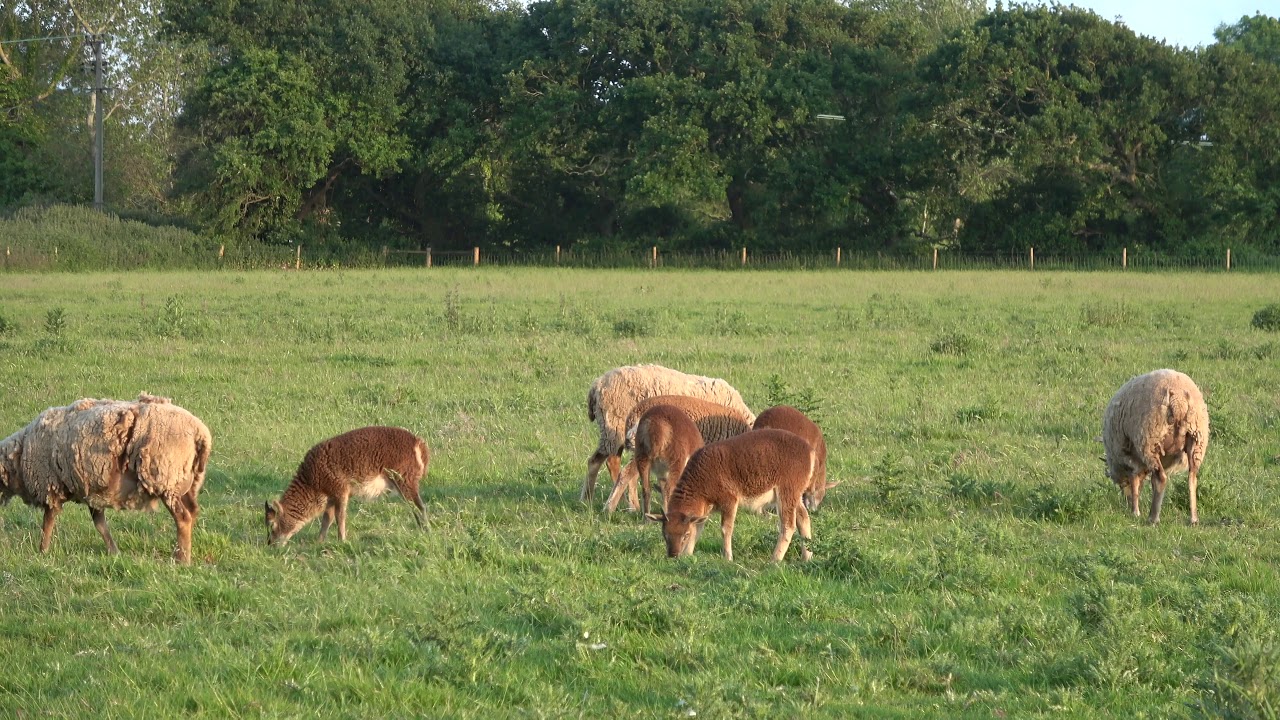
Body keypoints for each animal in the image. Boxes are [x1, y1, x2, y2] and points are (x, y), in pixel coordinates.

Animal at [0, 393, 212, 564]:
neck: (18, 456)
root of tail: (200, 433)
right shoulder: (92, 490)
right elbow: (100, 524)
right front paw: (114, 551)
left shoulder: (52, 486)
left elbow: (48, 521)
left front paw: (42, 551)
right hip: (185, 483)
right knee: (192, 512)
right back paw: (183, 552)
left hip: (165, 478)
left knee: (183, 518)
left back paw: (181, 559)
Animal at [265, 426, 430, 545]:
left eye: (272, 525)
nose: (271, 544)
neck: (312, 483)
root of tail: (419, 444)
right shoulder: (331, 497)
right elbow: (327, 519)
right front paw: (319, 542)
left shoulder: (341, 491)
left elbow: (340, 517)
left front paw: (342, 540)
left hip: (404, 480)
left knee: (419, 506)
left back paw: (426, 530)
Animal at [646, 428, 816, 563]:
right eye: (664, 533)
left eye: (685, 534)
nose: (673, 554)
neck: (702, 479)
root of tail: (809, 451)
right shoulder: (705, 508)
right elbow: (699, 527)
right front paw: (688, 554)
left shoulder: (730, 500)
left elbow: (725, 529)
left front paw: (728, 557)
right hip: (796, 496)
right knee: (803, 518)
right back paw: (807, 557)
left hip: (786, 493)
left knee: (788, 525)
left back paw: (774, 560)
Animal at [1102, 369, 1210, 525]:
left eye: (1122, 485)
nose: (1126, 503)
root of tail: (1178, 400)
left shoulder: (1129, 458)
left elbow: (1135, 482)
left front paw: (1135, 512)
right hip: (1196, 440)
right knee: (1192, 478)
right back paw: (1194, 519)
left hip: (1150, 442)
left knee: (1161, 478)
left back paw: (1153, 518)